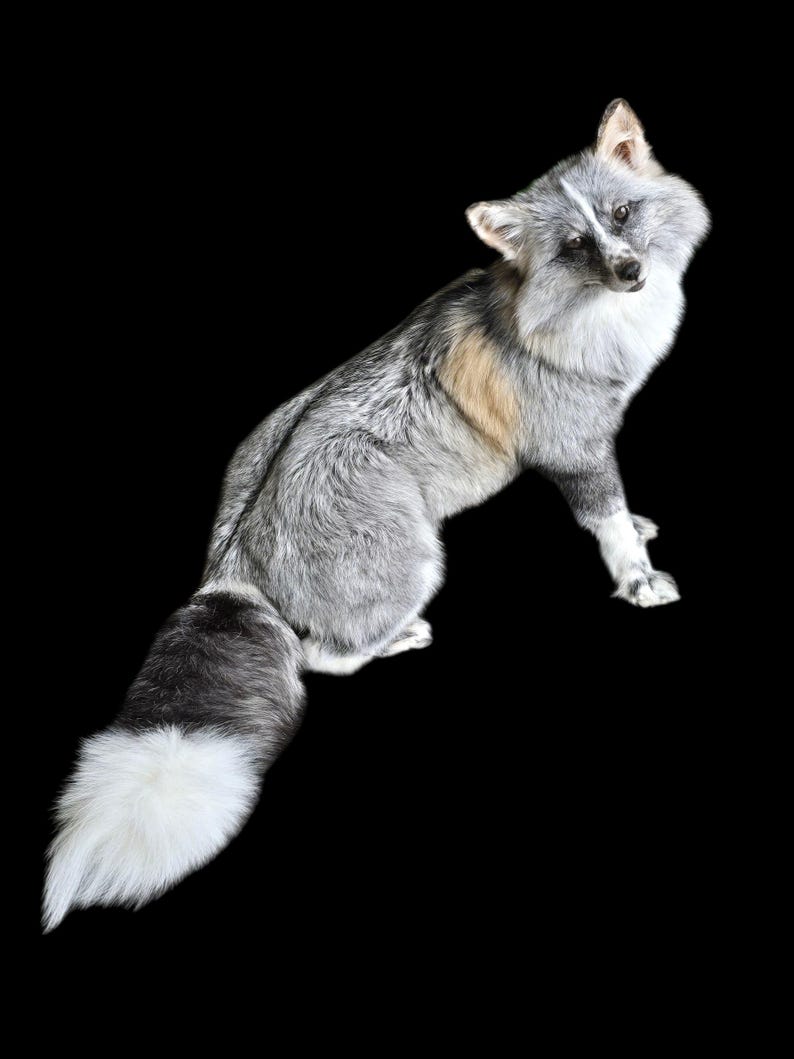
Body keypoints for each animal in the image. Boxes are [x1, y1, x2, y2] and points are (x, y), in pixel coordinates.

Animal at [43, 99, 709, 930]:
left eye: (621, 214)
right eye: (575, 245)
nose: (628, 270)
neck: (583, 317)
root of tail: (230, 559)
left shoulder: (590, 449)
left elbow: (613, 512)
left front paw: (640, 532)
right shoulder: (575, 447)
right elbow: (608, 522)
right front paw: (639, 579)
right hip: (417, 562)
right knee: (318, 657)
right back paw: (397, 639)